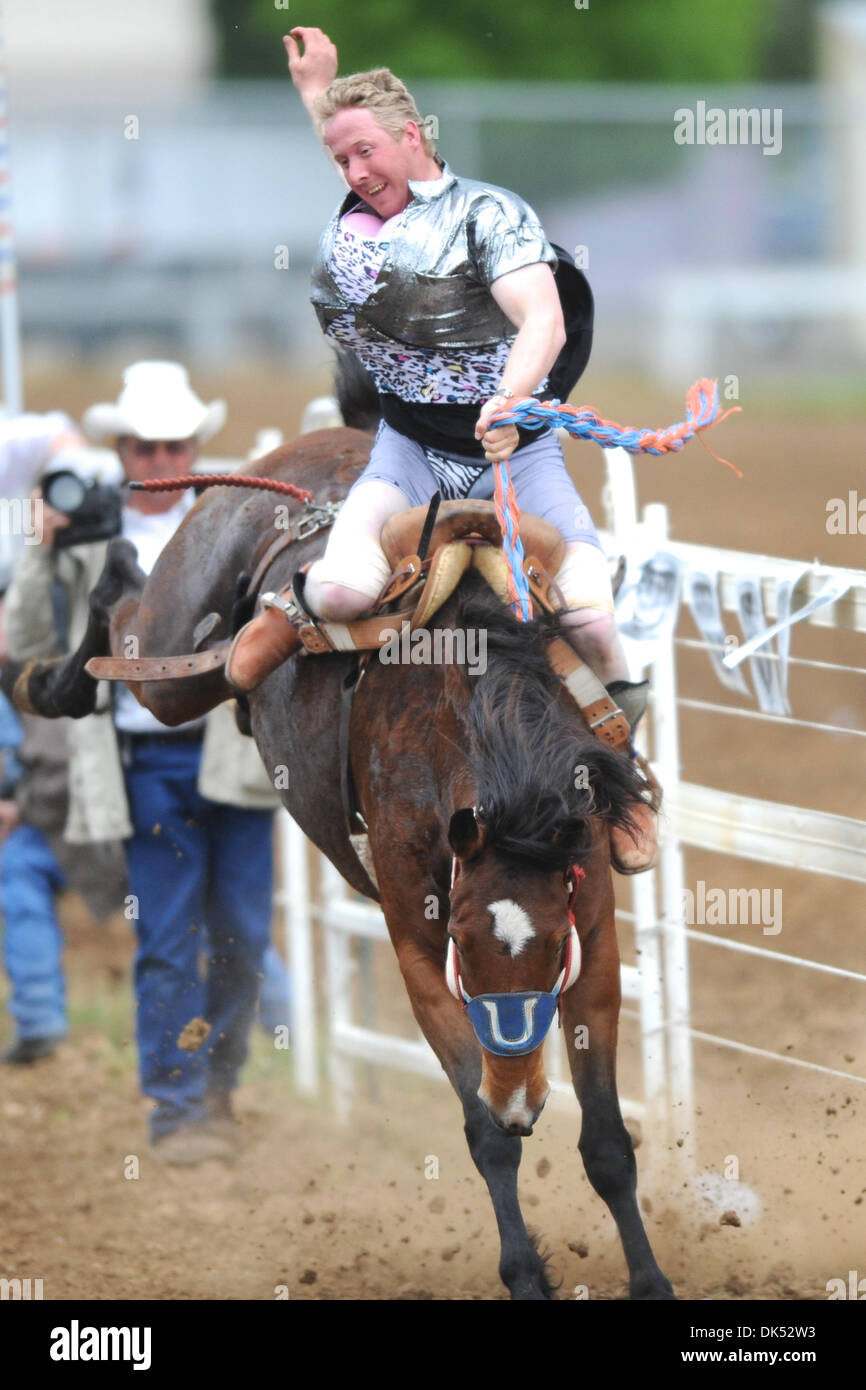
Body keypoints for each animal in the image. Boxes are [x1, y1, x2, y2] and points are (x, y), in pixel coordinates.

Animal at [2, 386, 674, 1301]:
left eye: (553, 946)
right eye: (463, 945)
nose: (520, 1102)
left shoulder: (594, 938)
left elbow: (606, 1142)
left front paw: (651, 1279)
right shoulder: (417, 944)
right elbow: (483, 1137)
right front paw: (524, 1272)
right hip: (179, 641)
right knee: (122, 602)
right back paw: (46, 656)